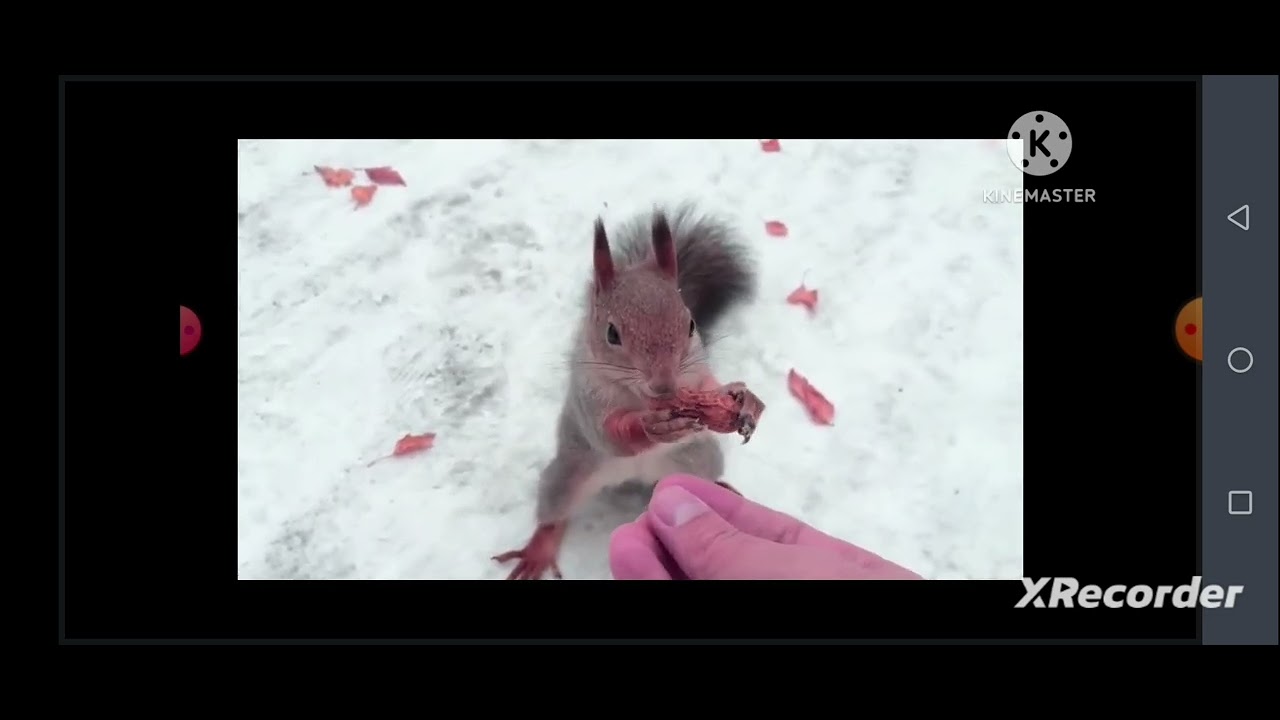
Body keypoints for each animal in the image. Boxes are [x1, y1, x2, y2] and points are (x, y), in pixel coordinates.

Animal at [492, 202, 766, 580]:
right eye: (612, 334)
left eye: (690, 324)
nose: (664, 384)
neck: (642, 398)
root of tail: (636, 478)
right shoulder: (589, 400)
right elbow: (612, 435)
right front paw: (650, 427)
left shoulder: (695, 374)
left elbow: (709, 391)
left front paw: (741, 397)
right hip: (566, 477)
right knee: (554, 515)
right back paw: (538, 550)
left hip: (699, 459)